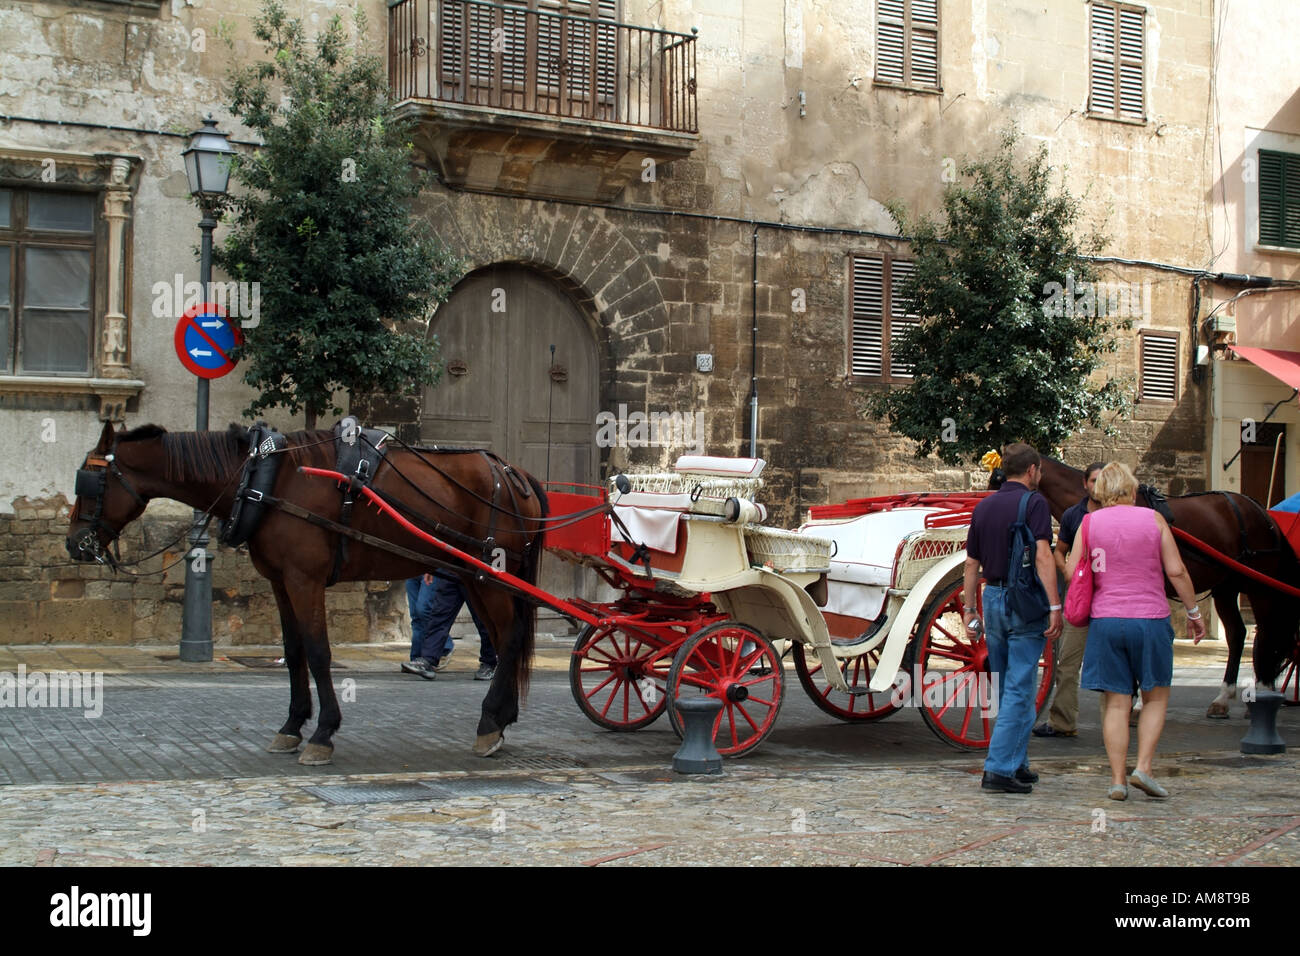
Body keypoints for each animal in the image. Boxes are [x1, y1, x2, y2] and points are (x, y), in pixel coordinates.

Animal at [65, 421, 549, 765]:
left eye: (89, 483)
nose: (74, 544)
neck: (267, 479)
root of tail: (515, 473)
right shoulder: (281, 581)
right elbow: (294, 652)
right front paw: (292, 726)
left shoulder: (305, 580)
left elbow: (318, 653)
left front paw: (322, 733)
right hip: (471, 576)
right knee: (503, 637)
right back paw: (500, 718)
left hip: (490, 575)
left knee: (508, 637)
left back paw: (489, 722)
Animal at [1014, 456, 1300, 717]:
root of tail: (1261, 512)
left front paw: (1138, 700)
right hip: (1225, 587)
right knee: (1238, 634)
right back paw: (1223, 698)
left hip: (1259, 585)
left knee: (1266, 631)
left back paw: (1262, 691)